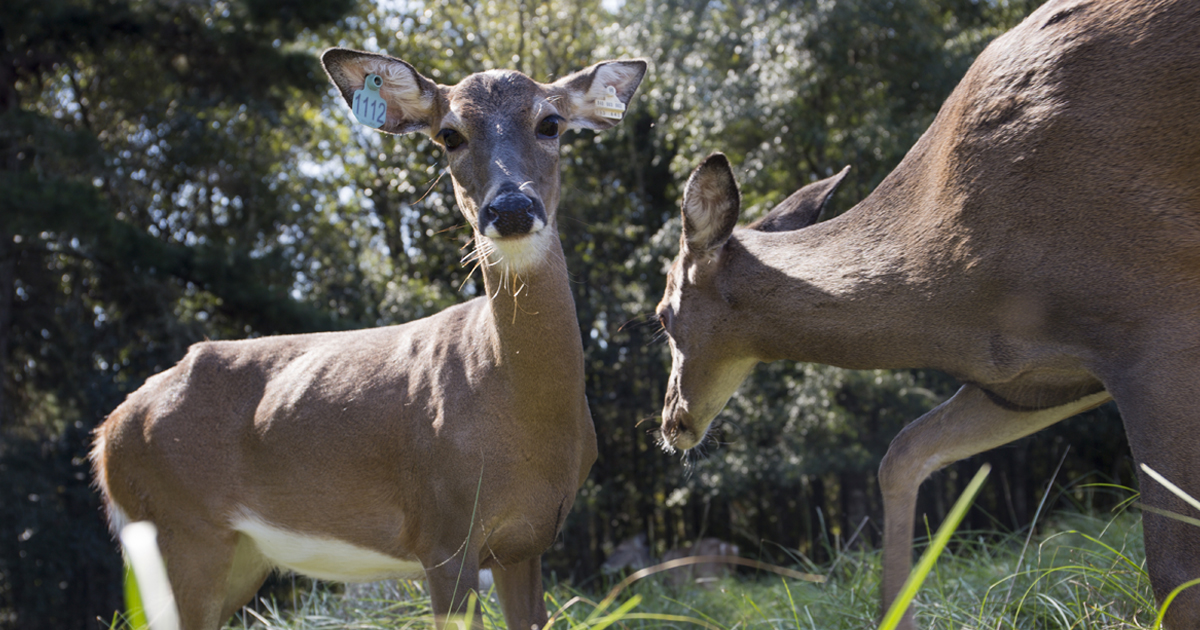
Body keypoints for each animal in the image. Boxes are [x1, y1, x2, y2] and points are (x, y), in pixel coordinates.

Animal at [90, 48, 646, 630]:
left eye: (551, 123)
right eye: (449, 135)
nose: (511, 208)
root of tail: (106, 435)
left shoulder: (528, 542)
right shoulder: (443, 530)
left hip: (238, 555)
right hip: (179, 530)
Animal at [653, 0, 1200, 627]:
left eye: (662, 315)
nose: (671, 421)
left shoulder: (1156, 319)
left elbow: (1174, 571)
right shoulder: (1034, 380)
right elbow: (903, 452)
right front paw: (895, 607)